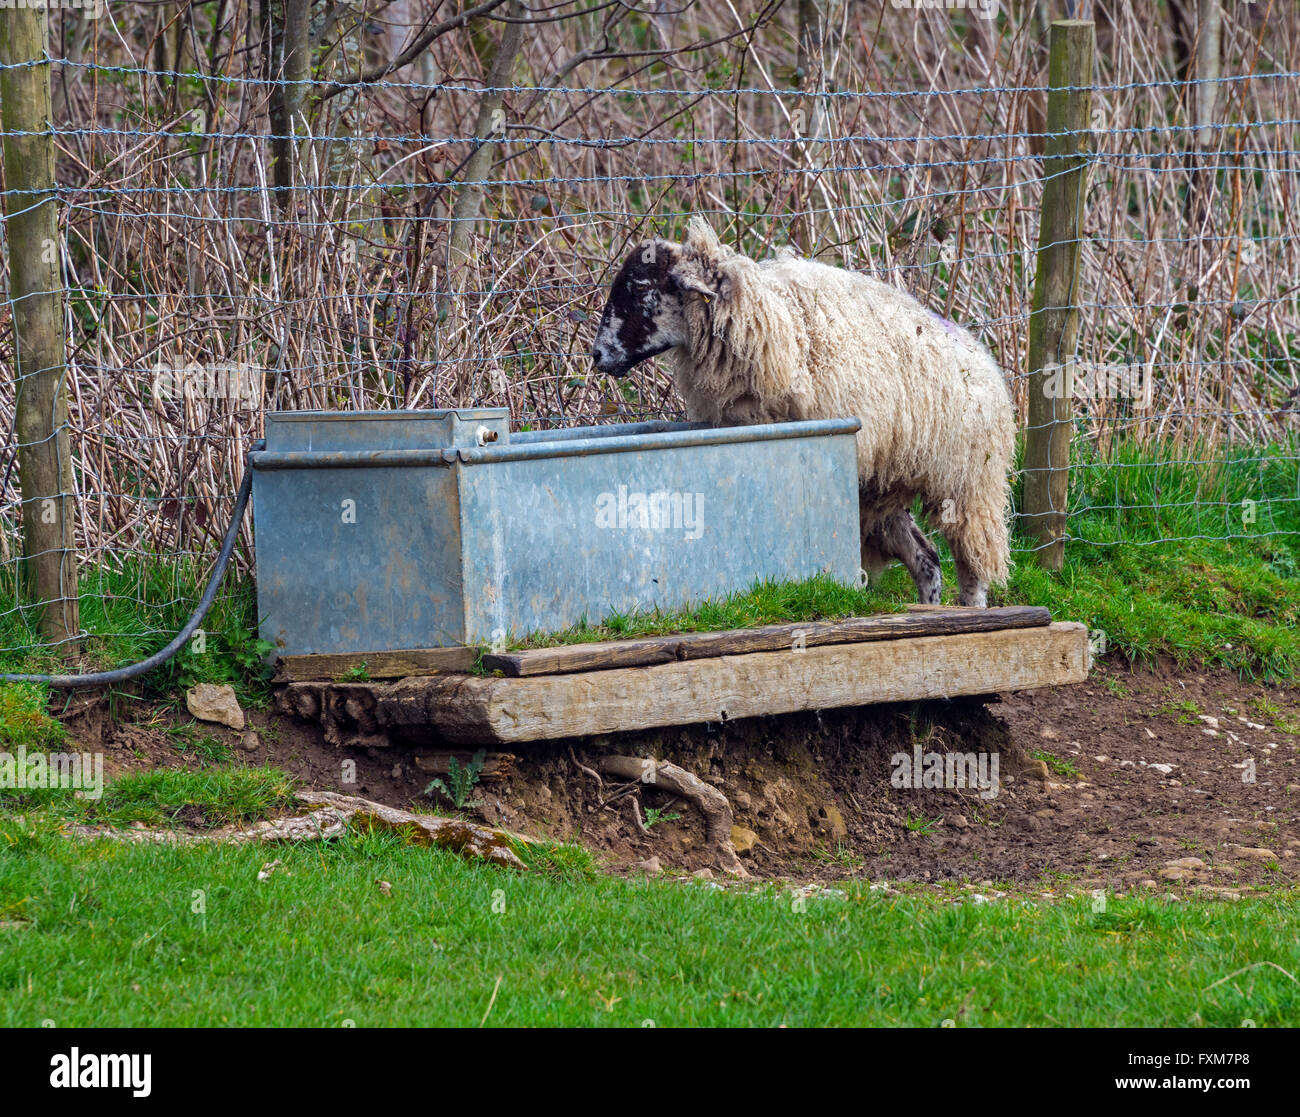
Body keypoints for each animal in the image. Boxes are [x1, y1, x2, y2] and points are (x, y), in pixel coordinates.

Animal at [591, 218, 1014, 607]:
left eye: (640, 287)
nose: (596, 355)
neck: (763, 314)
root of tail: (982, 357)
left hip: (967, 481)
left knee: (971, 560)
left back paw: (972, 607)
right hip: (884, 484)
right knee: (925, 559)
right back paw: (930, 607)